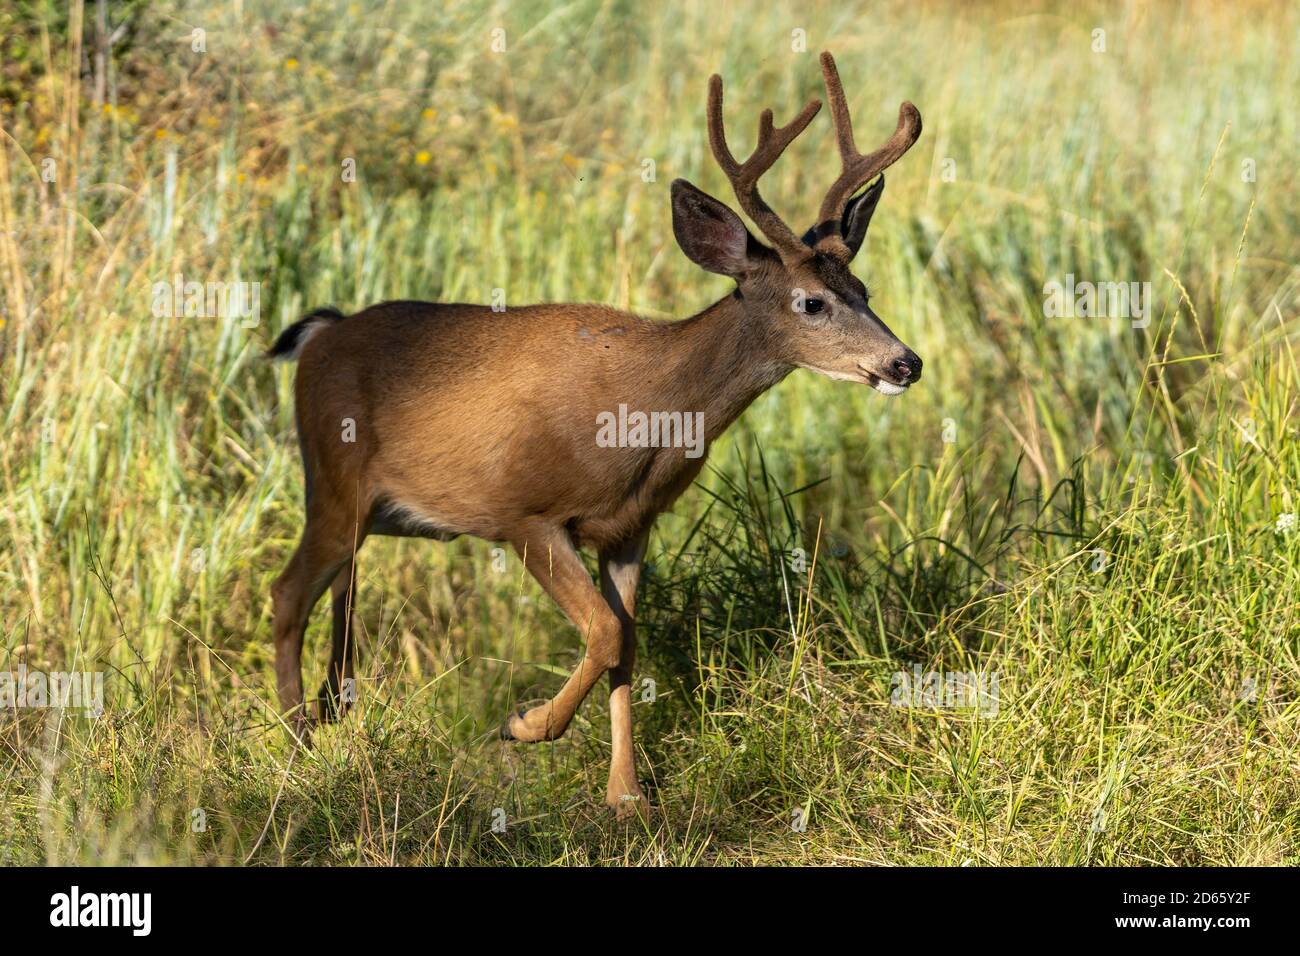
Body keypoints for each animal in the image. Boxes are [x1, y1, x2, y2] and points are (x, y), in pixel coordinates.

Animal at [267, 52, 922, 819]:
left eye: (865, 291)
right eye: (811, 302)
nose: (904, 362)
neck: (645, 418)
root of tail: (320, 333)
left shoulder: (631, 526)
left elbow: (627, 644)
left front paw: (626, 794)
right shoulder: (523, 512)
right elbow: (605, 633)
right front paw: (526, 725)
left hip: (374, 512)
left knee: (337, 593)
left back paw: (324, 714)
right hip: (331, 483)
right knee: (287, 593)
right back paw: (299, 749)